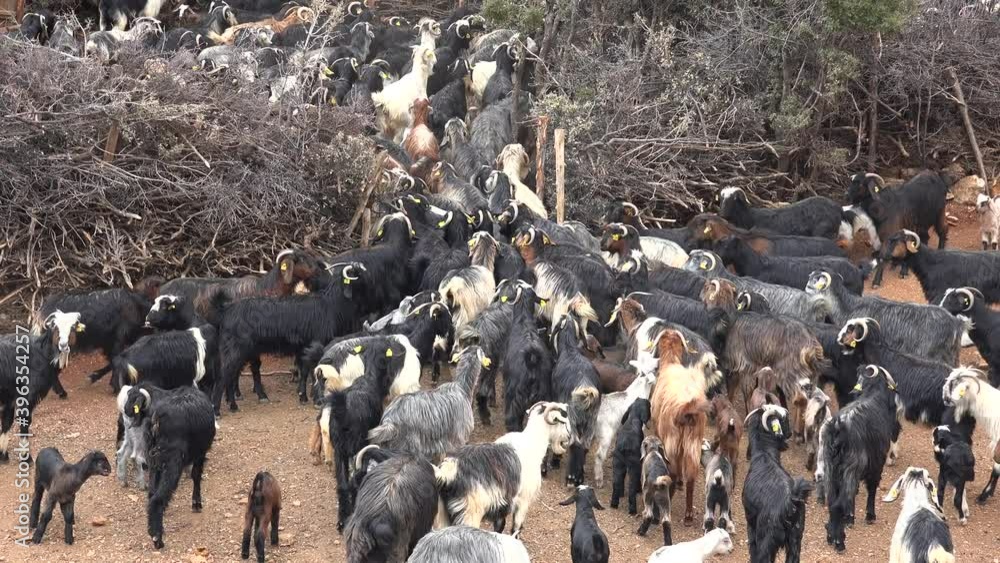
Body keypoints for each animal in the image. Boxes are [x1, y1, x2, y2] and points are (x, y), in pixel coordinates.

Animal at [435, 402, 572, 537]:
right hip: (470, 514)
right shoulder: (523, 500)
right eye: (563, 421)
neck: (532, 443)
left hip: (442, 516)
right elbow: (516, 528)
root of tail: (450, 469)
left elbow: (500, 526)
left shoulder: (502, 503)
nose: (569, 436)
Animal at [650, 329, 709, 527]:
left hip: (672, 439)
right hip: (693, 441)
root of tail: (687, 408)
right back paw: (689, 515)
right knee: (691, 475)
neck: (671, 363)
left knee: (674, 471)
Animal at [742, 404, 812, 563]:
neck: (764, 455)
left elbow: (752, 548)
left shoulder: (750, 521)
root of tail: (790, 503)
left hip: (767, 540)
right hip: (795, 539)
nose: (790, 433)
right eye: (784, 419)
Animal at [823, 365, 899, 552]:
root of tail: (837, 428)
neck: (872, 395)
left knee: (832, 502)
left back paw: (831, 535)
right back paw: (839, 541)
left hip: (831, 471)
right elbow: (872, 488)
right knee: (838, 504)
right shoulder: (876, 464)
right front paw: (870, 516)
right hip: (850, 469)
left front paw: (850, 518)